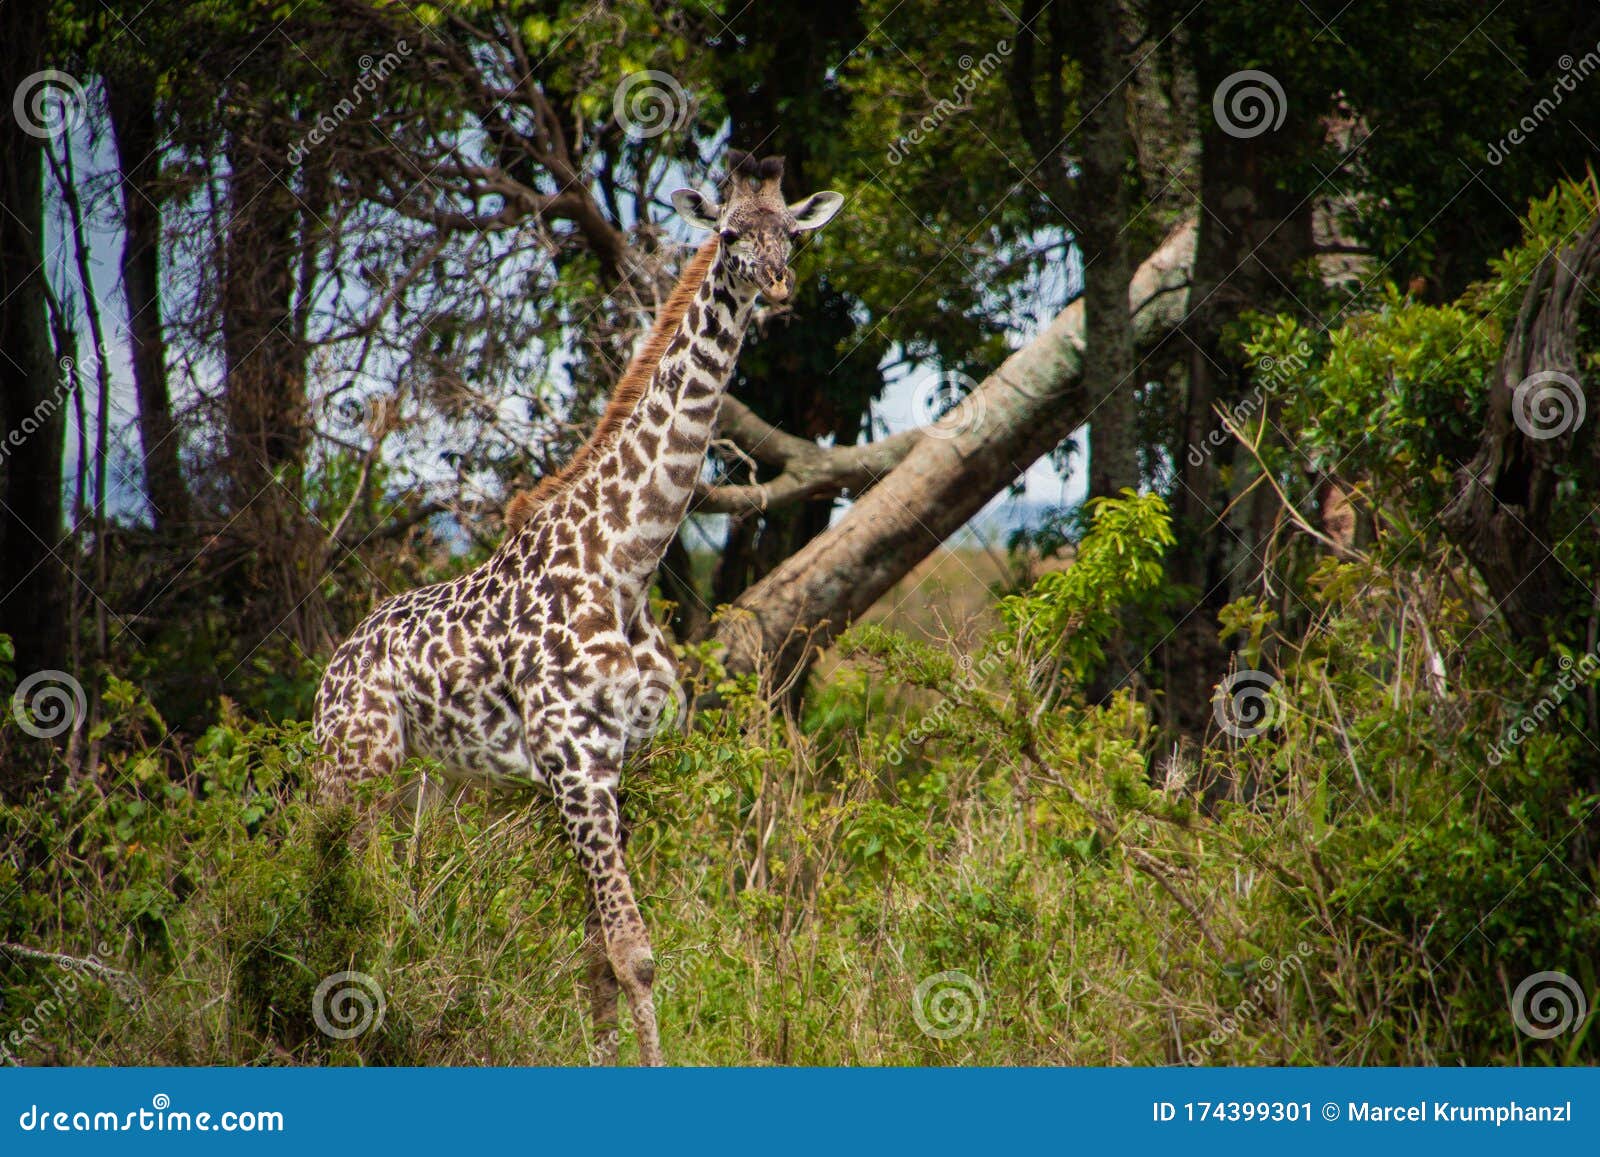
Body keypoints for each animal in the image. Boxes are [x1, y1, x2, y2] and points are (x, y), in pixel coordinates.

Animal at [312, 151, 843, 1066]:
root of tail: (333, 666)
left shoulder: (619, 760)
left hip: (424, 781)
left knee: (376, 890)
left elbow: (599, 953)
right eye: (728, 234)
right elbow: (634, 953)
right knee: (314, 872)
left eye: (792, 234)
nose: (776, 286)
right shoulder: (573, 761)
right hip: (351, 765)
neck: (627, 561)